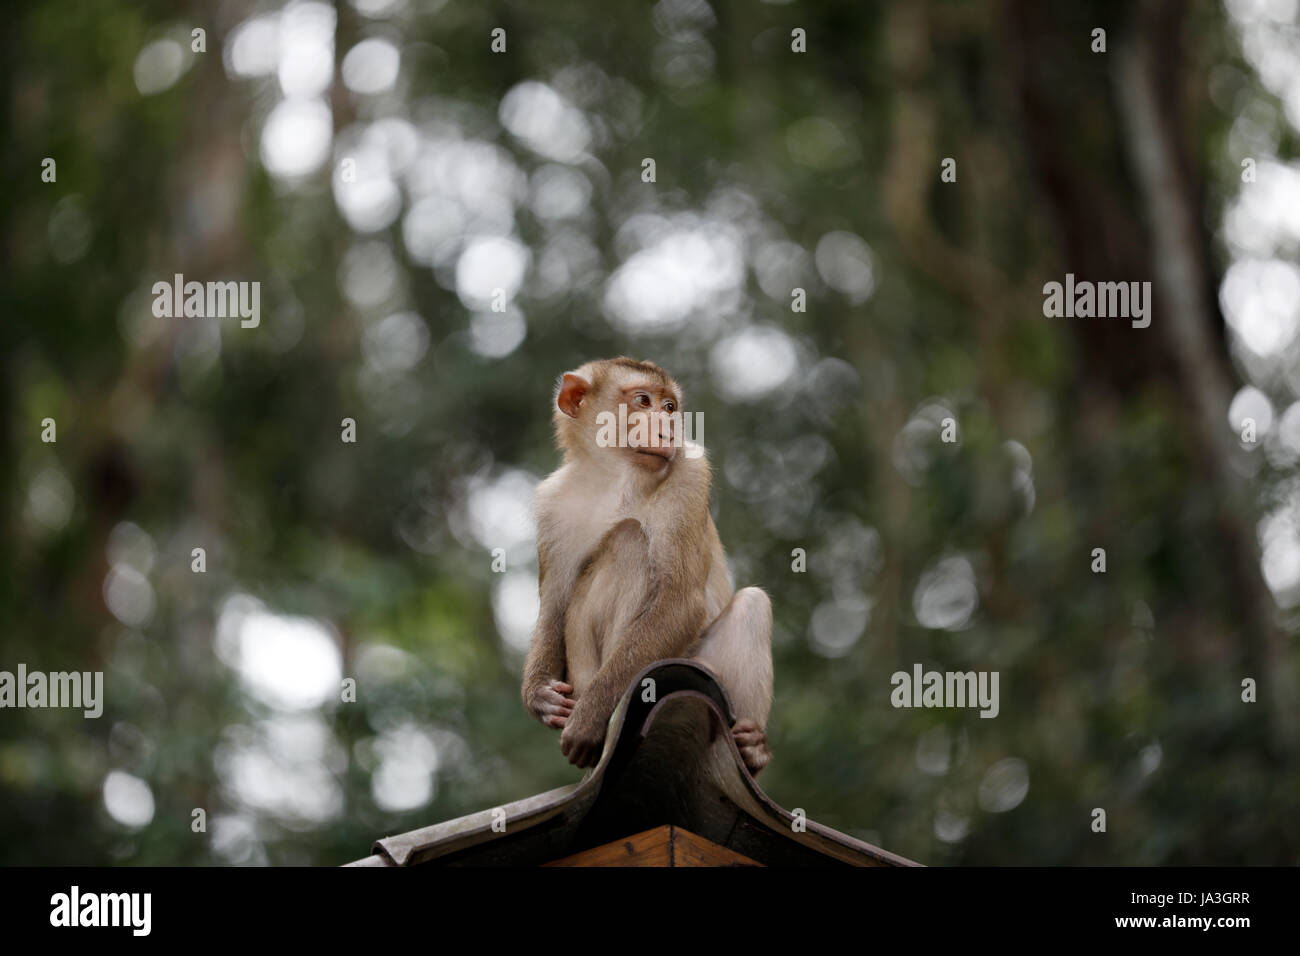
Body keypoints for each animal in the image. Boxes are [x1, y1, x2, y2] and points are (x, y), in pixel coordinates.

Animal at [521, 357, 774, 775]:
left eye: (669, 407)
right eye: (643, 401)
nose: (667, 427)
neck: (616, 478)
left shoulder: (691, 474)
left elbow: (679, 601)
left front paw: (590, 717)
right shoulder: (553, 504)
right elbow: (555, 605)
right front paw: (539, 694)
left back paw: (750, 750)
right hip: (583, 675)